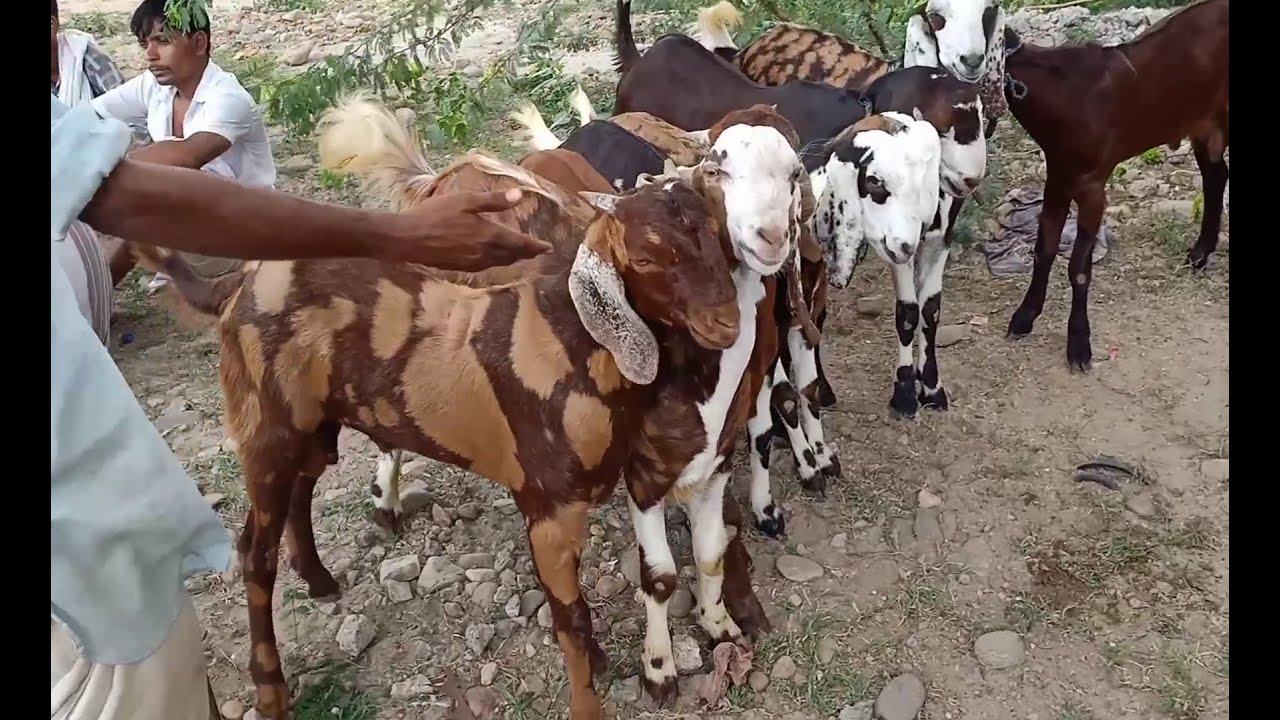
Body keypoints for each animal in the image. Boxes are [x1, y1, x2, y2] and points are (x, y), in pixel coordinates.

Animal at [1003, 0, 1229, 371]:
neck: (1064, 96)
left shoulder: (1093, 188)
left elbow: (1079, 267)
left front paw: (1079, 345)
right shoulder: (1058, 178)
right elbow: (1043, 249)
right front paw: (1024, 317)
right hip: (1204, 121)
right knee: (1215, 175)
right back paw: (1199, 253)